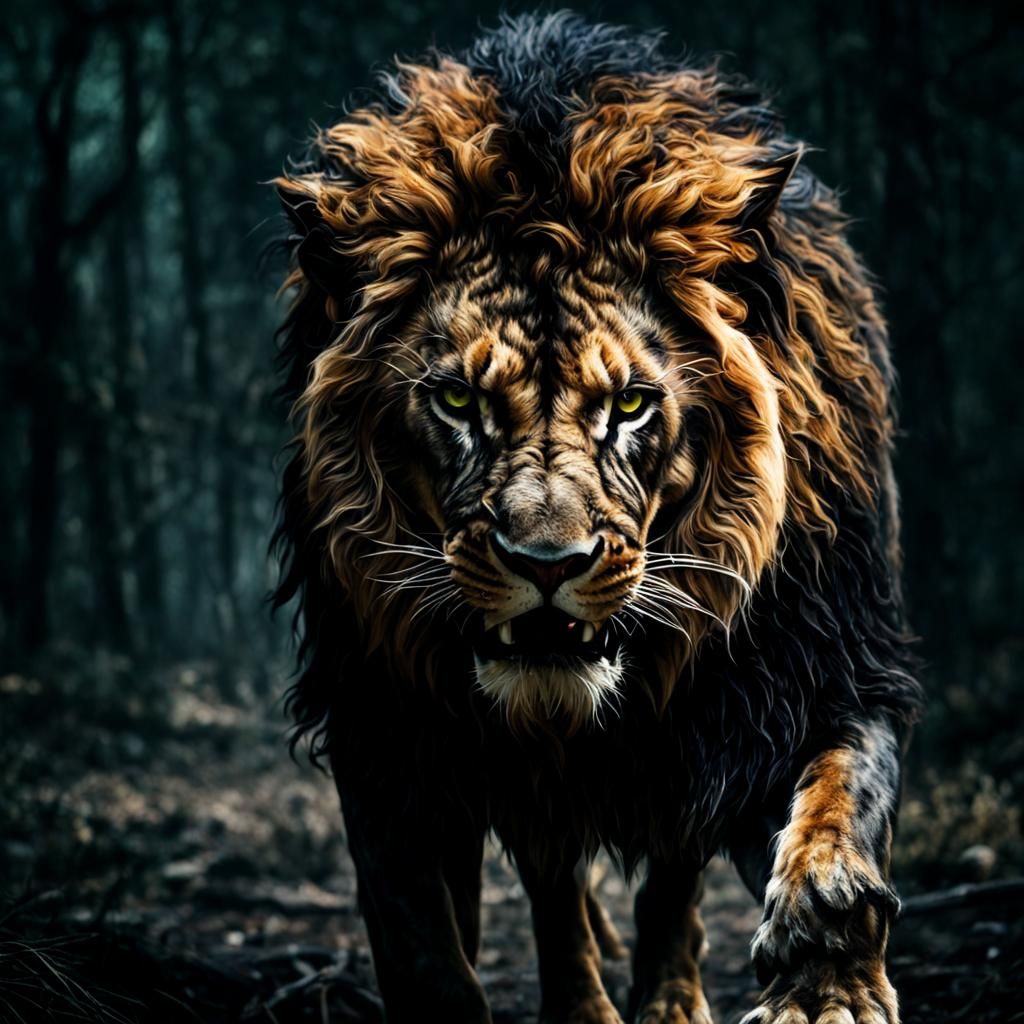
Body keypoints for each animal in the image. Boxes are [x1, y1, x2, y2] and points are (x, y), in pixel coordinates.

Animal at [271, 13, 923, 1024]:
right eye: (457, 400)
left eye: (629, 405)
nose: (548, 565)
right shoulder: (381, 722)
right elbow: (422, 941)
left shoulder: (815, 667)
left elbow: (842, 809)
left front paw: (828, 988)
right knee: (554, 881)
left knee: (670, 870)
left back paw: (668, 999)